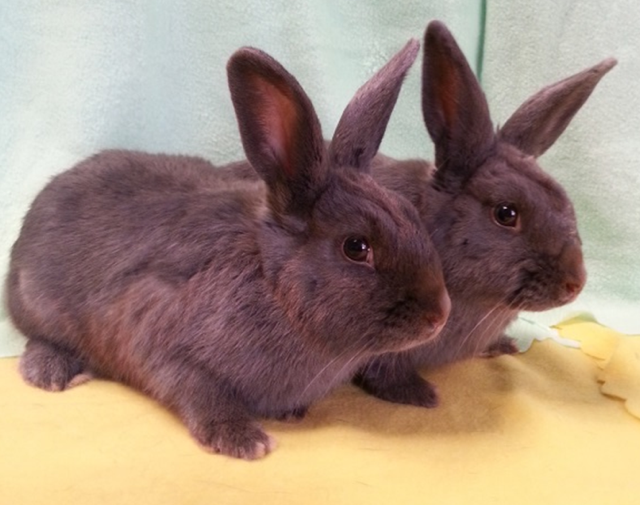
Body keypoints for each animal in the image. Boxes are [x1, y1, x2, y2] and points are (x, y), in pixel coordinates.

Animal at [5, 39, 451, 460]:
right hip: (41, 304)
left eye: (409, 212)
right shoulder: (168, 349)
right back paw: (52, 372)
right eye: (356, 247)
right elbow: (199, 393)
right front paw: (243, 440)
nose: (439, 315)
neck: (272, 285)